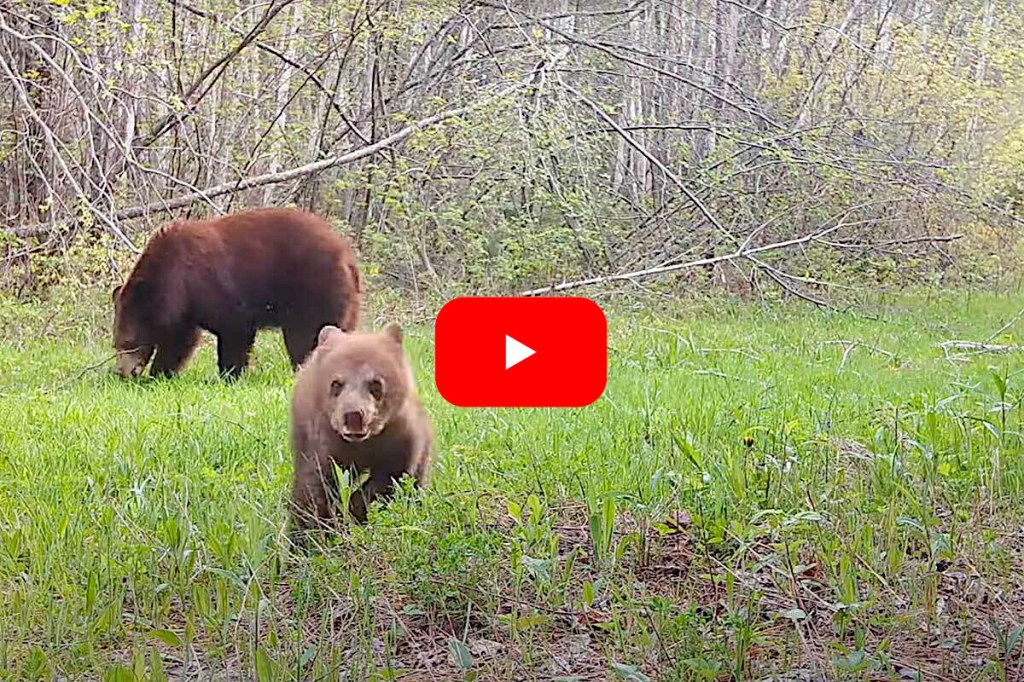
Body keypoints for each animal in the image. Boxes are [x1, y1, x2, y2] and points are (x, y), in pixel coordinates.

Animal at [111, 207, 363, 380]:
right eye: (116, 344)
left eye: (128, 342)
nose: (122, 373)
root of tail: (349, 259)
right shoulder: (185, 306)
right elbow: (181, 338)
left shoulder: (209, 285)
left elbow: (231, 330)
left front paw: (228, 374)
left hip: (315, 291)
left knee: (305, 337)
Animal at [288, 322, 432, 539]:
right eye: (336, 383)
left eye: (375, 383)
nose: (354, 415)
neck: (362, 447)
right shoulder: (322, 444)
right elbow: (316, 487)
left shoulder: (401, 443)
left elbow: (391, 479)